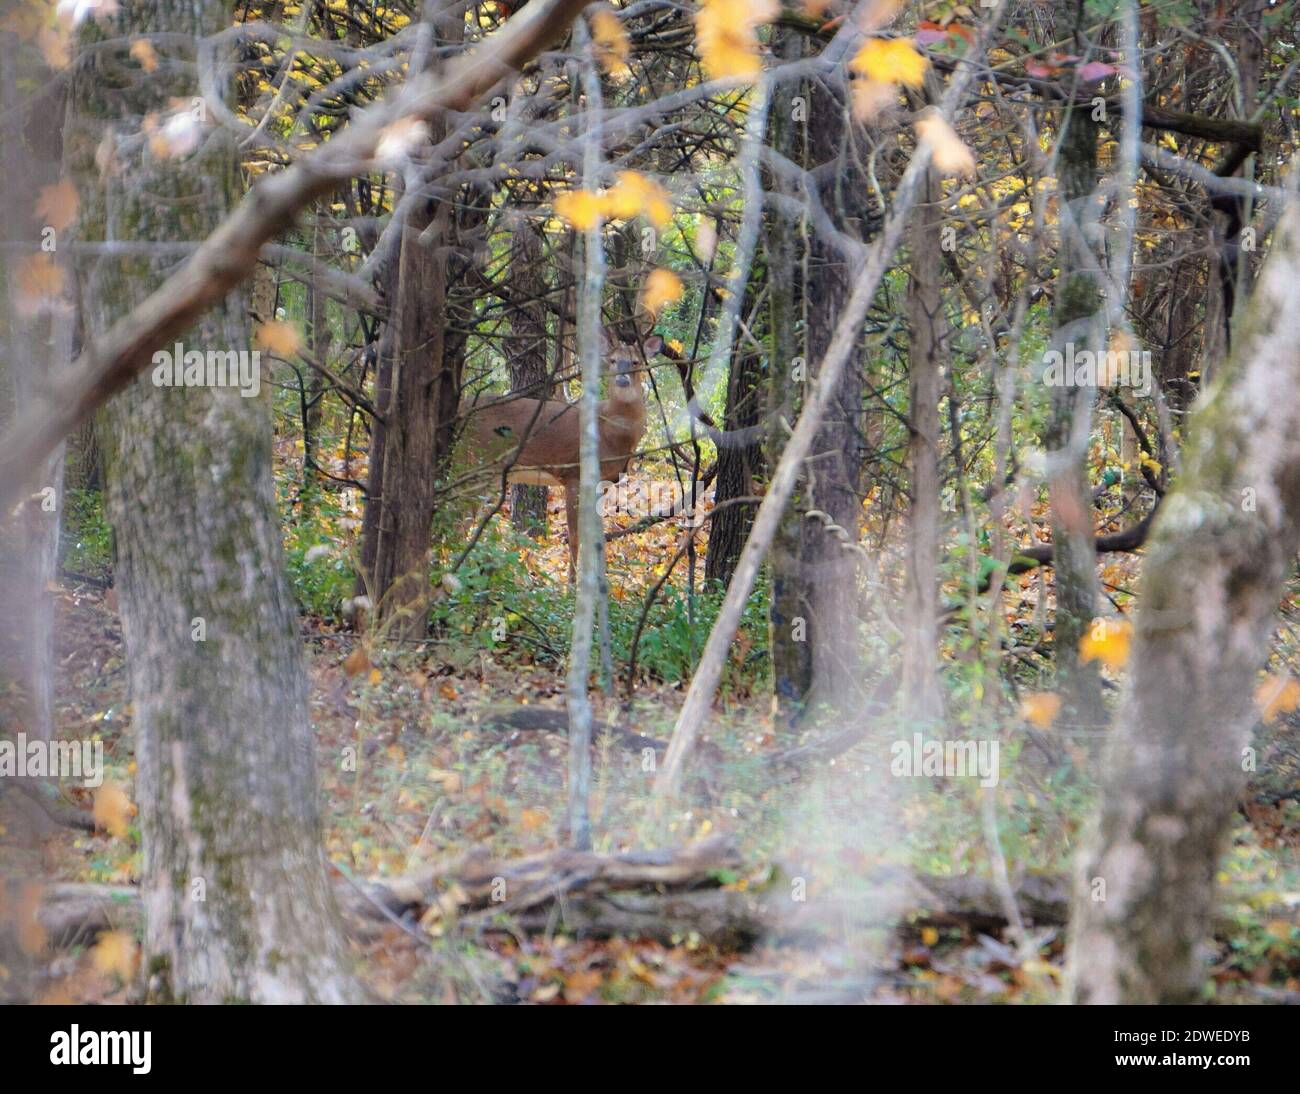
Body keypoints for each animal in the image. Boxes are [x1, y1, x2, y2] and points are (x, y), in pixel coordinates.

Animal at [465, 331, 662, 582]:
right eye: (613, 360)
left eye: (636, 362)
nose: (622, 379)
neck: (609, 430)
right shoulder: (573, 474)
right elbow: (575, 536)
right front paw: (571, 583)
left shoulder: (603, 483)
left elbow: (597, 536)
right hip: (473, 463)